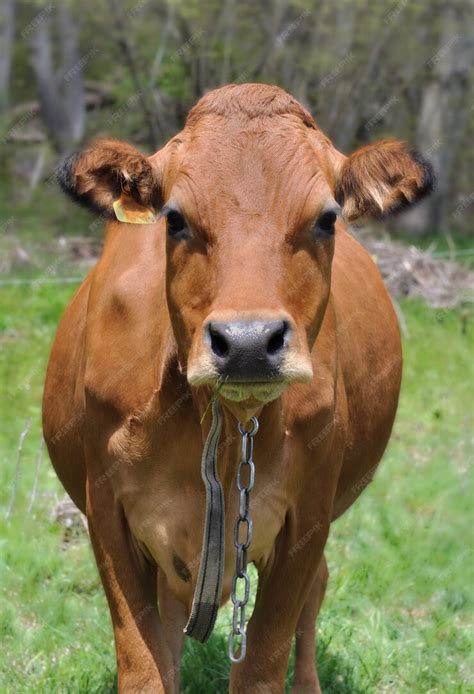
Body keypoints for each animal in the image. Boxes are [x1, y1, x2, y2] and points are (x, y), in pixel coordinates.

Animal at [43, 83, 433, 693]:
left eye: (327, 219)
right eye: (175, 219)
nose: (248, 342)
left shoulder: (307, 518)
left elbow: (262, 664)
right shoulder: (106, 512)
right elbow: (146, 667)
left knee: (316, 594)